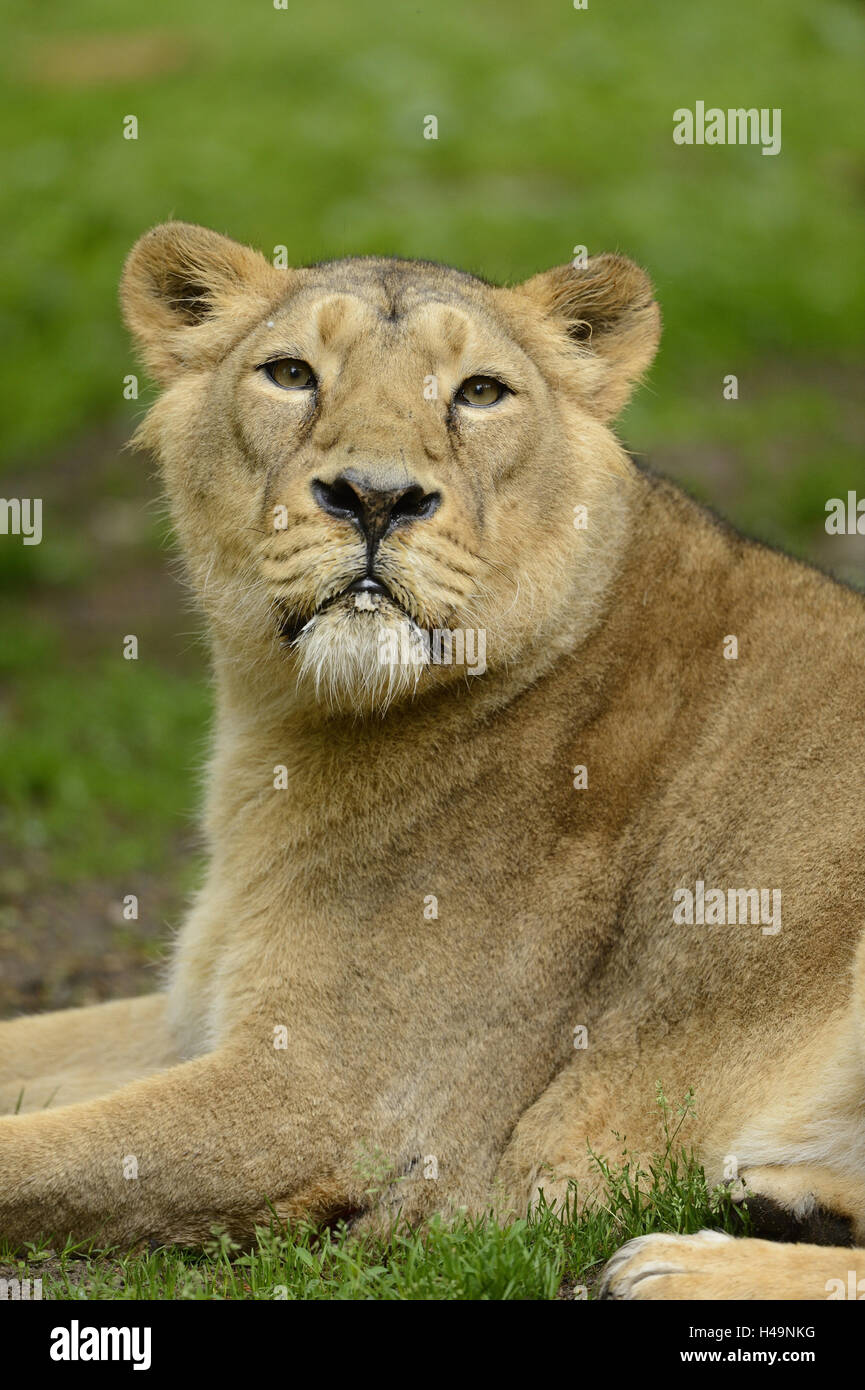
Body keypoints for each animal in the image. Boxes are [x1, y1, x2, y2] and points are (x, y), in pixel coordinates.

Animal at [0, 222, 862, 1301]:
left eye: (479, 392)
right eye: (291, 374)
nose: (375, 498)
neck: (282, 738)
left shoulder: (332, 1099)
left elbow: (31, 1153)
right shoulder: (193, 1019)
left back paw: (671, 1261)